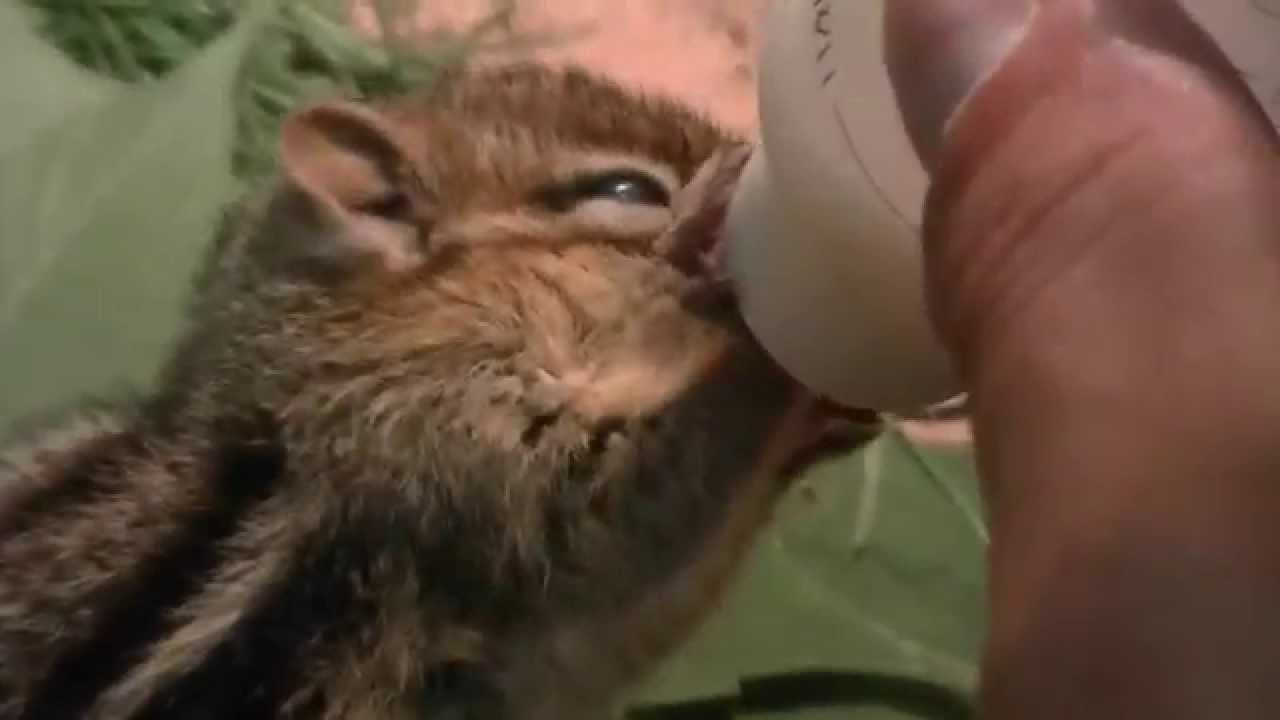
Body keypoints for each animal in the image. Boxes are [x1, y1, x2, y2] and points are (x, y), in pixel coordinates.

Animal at [0, 62, 881, 720]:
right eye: (628, 192)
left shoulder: (551, 659)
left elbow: (632, 617)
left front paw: (825, 420)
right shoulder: (445, 455)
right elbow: (624, 515)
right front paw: (734, 293)